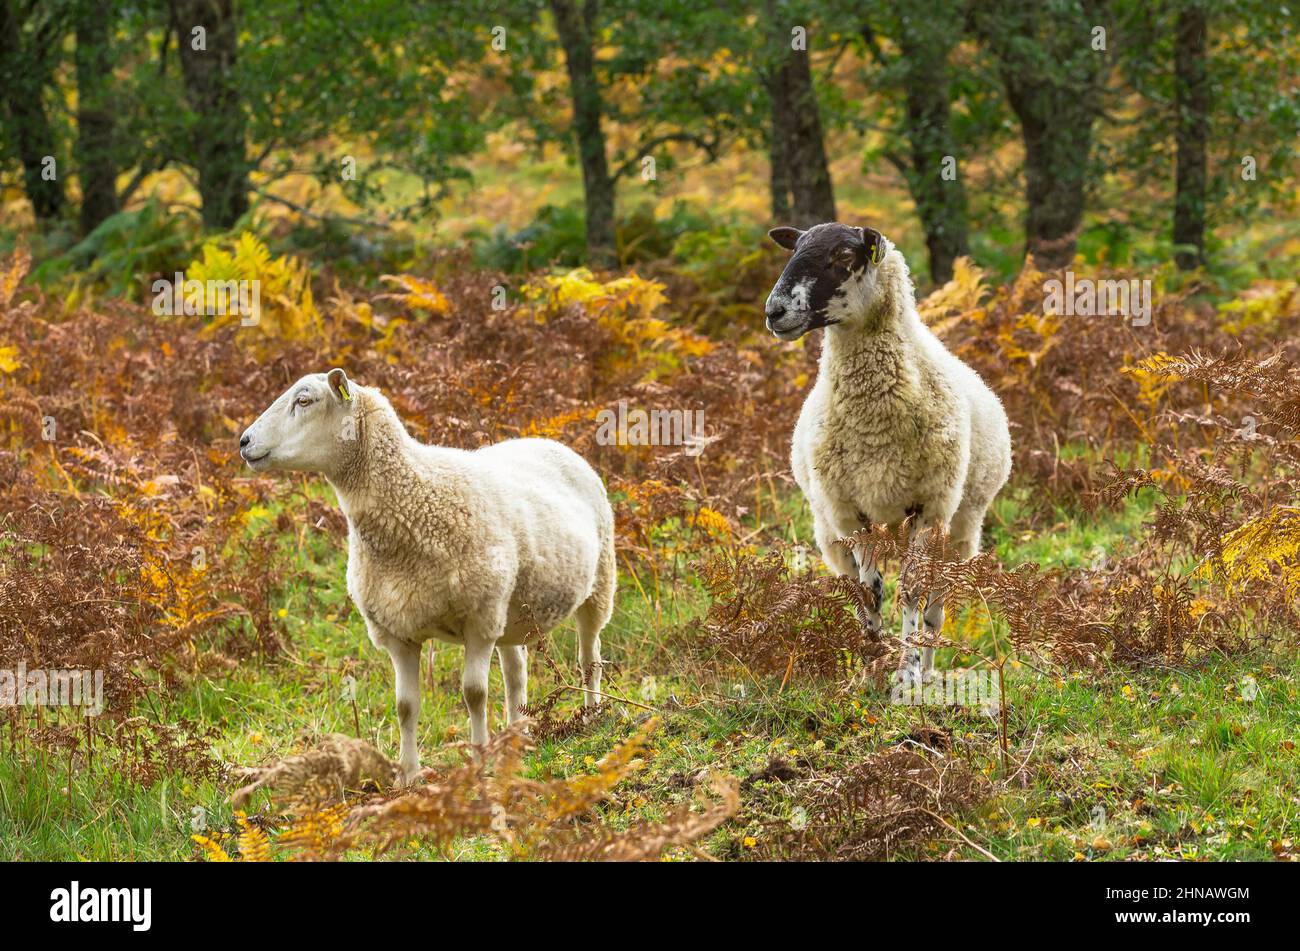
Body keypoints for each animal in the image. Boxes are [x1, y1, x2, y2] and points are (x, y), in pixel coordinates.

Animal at [239, 369, 616, 783]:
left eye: (304, 401)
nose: (244, 442)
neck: (417, 495)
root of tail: (547, 440)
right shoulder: (397, 631)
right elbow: (405, 705)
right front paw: (408, 775)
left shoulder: (479, 621)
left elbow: (474, 694)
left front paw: (478, 761)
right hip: (511, 608)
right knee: (516, 670)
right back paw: (519, 737)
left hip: (598, 583)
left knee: (588, 655)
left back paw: (591, 714)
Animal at [764, 223, 1011, 682]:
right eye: (795, 249)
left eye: (844, 256)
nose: (774, 311)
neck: (873, 425)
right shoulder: (850, 512)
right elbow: (870, 591)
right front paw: (871, 666)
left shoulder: (928, 507)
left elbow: (911, 592)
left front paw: (907, 671)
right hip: (831, 534)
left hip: (958, 530)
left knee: (935, 605)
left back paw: (928, 670)